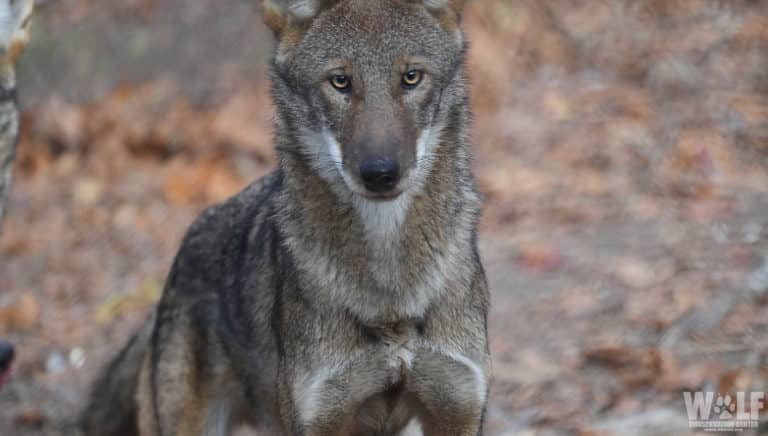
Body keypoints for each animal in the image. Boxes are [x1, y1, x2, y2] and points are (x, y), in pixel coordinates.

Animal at [82, 0, 490, 435]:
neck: (390, 297)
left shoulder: (459, 411)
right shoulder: (318, 419)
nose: (380, 173)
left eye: (411, 77)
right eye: (340, 82)